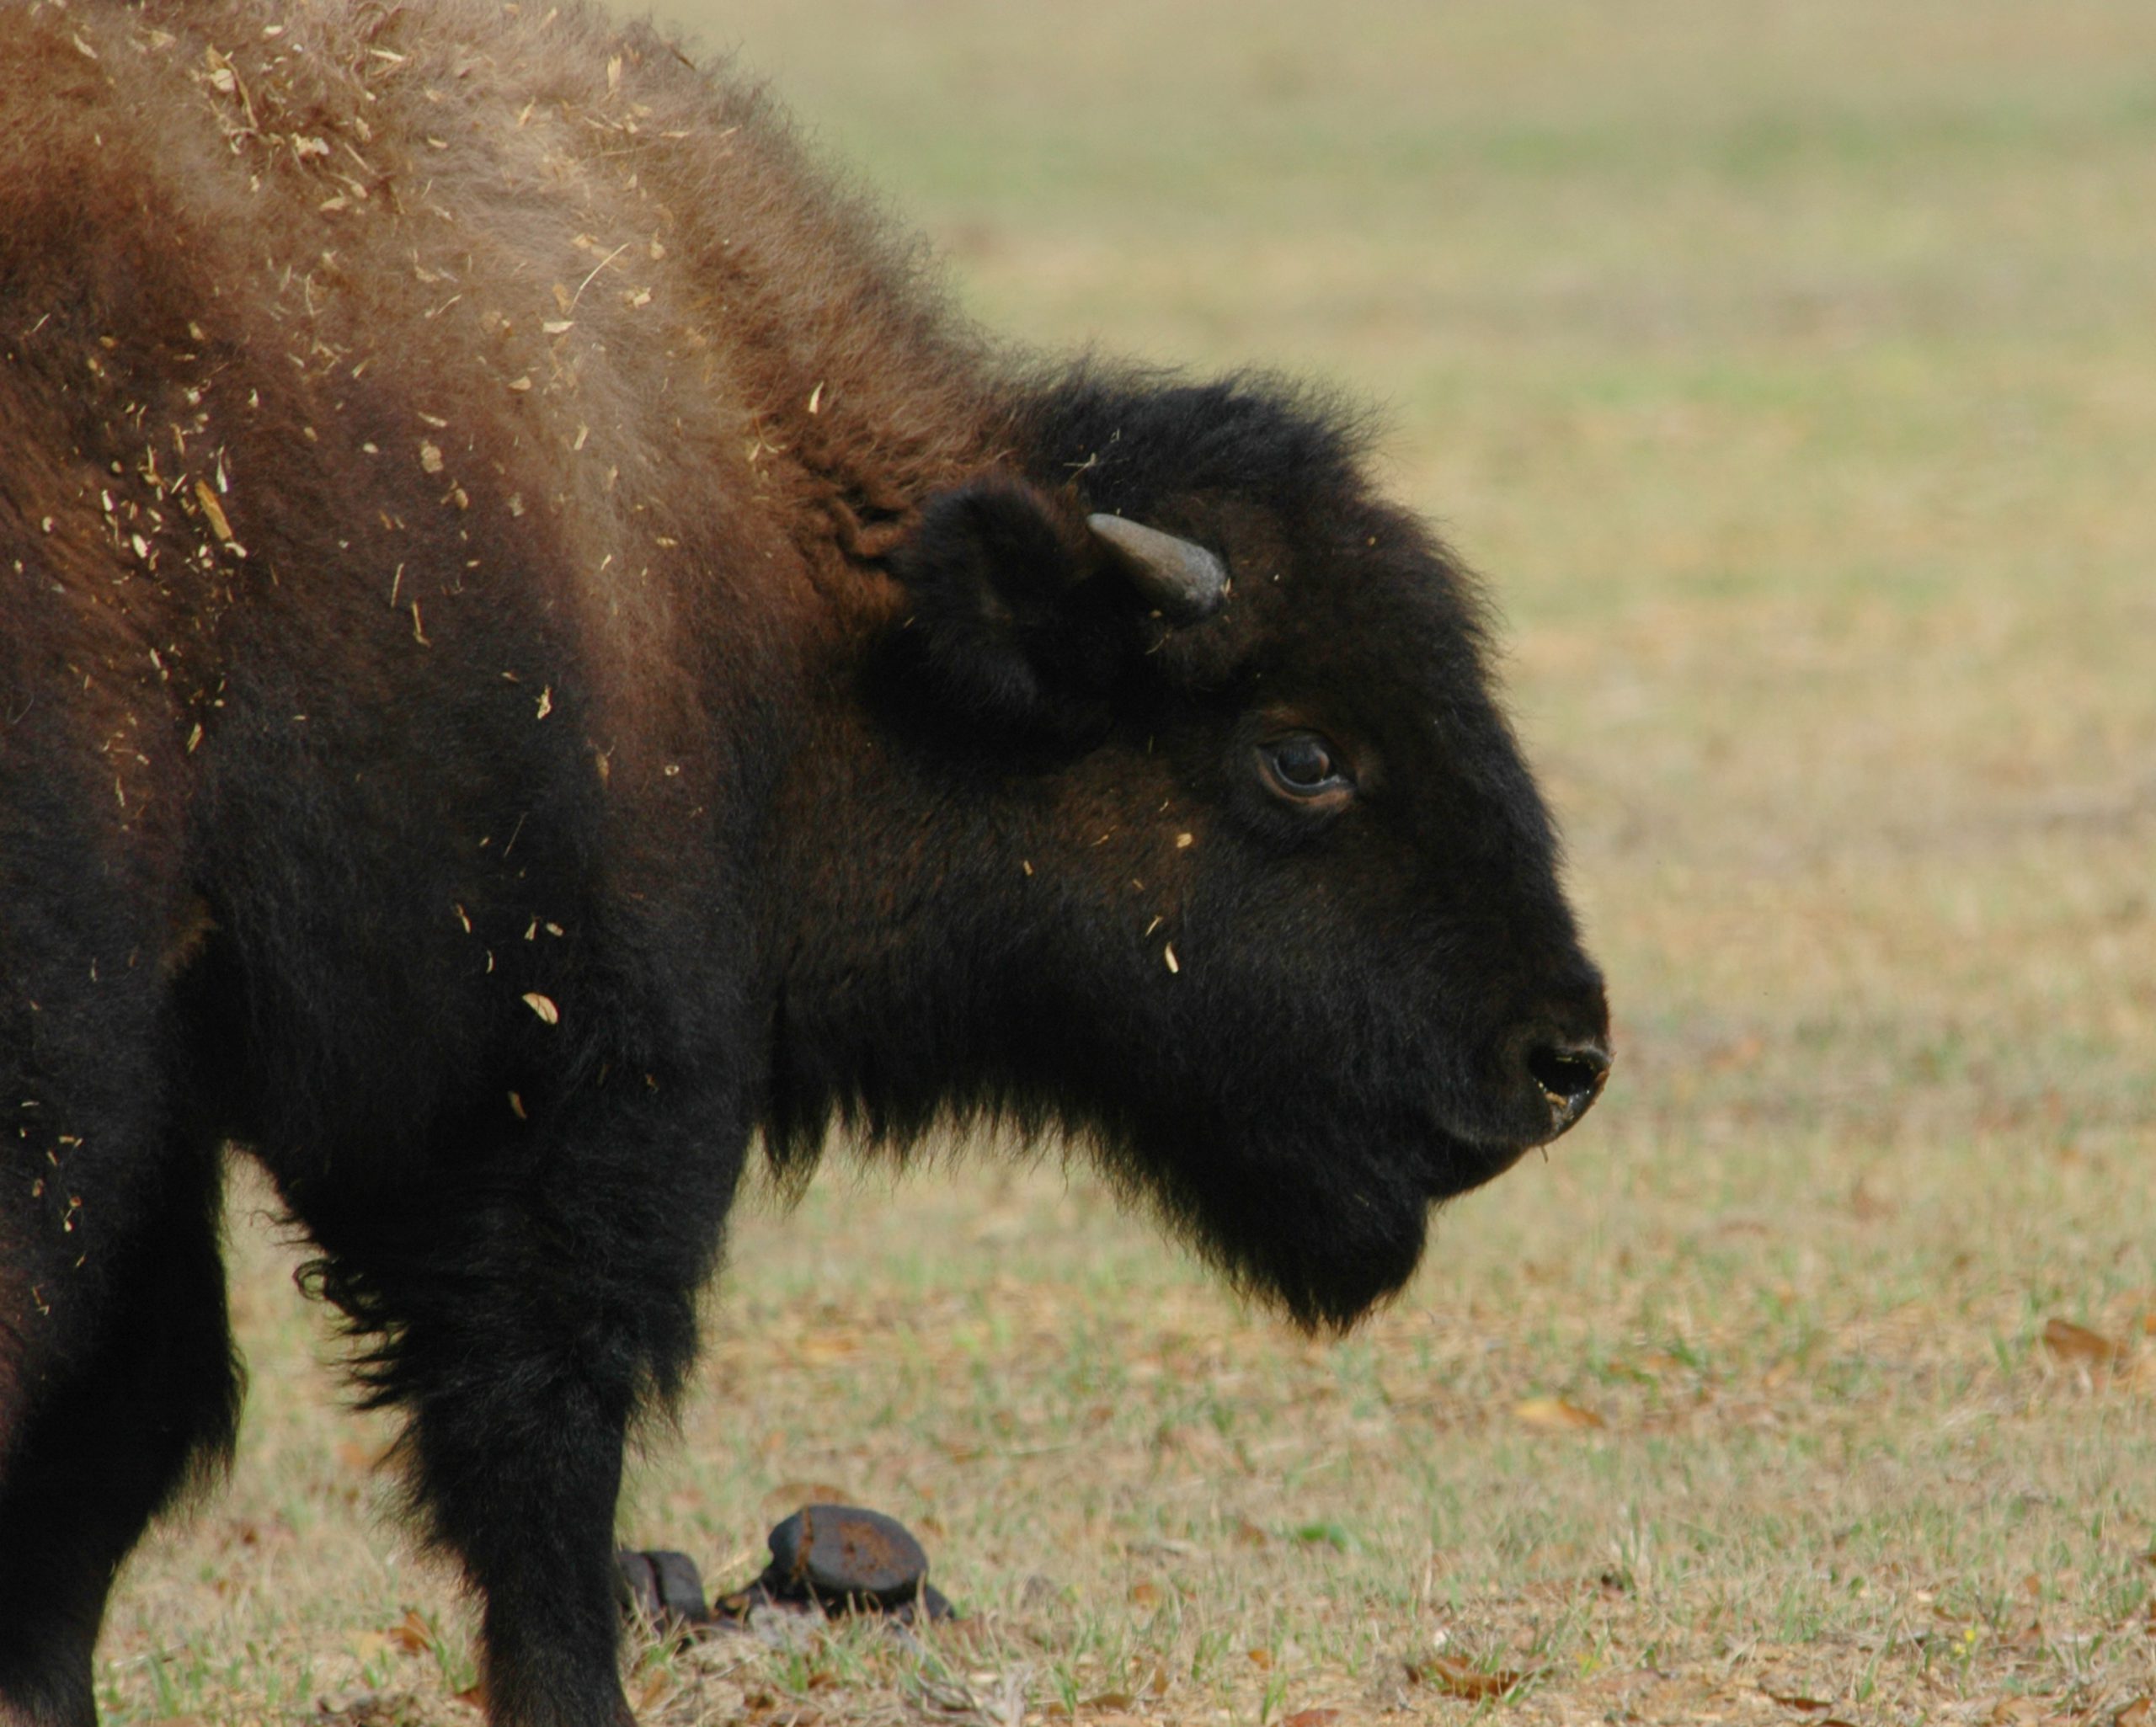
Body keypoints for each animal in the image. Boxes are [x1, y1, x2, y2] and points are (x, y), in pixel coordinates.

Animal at [0, 0, 1609, 1721]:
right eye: (1302, 754)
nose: (1562, 1054)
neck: (809, 570)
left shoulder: (200, 1098)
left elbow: (123, 1440)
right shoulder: (562, 1090)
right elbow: (535, 1441)